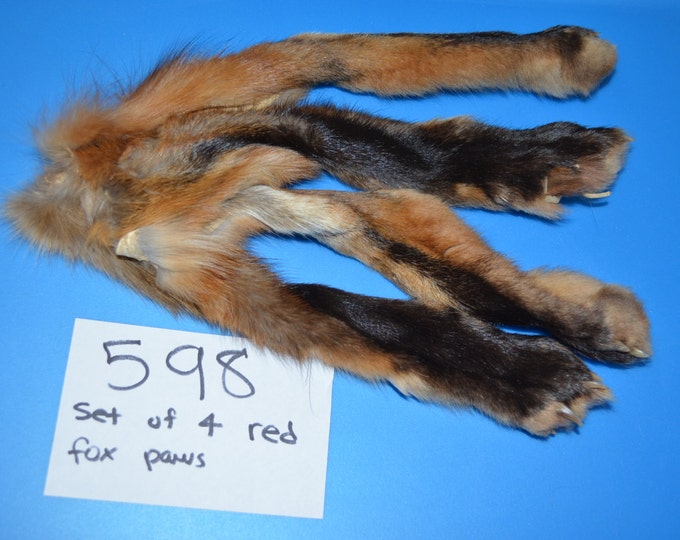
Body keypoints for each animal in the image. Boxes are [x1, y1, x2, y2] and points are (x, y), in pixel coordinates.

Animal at [5, 26, 651, 436]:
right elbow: (375, 299)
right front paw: (533, 373)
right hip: (213, 229)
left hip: (215, 142)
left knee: (339, 89)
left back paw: (545, 129)